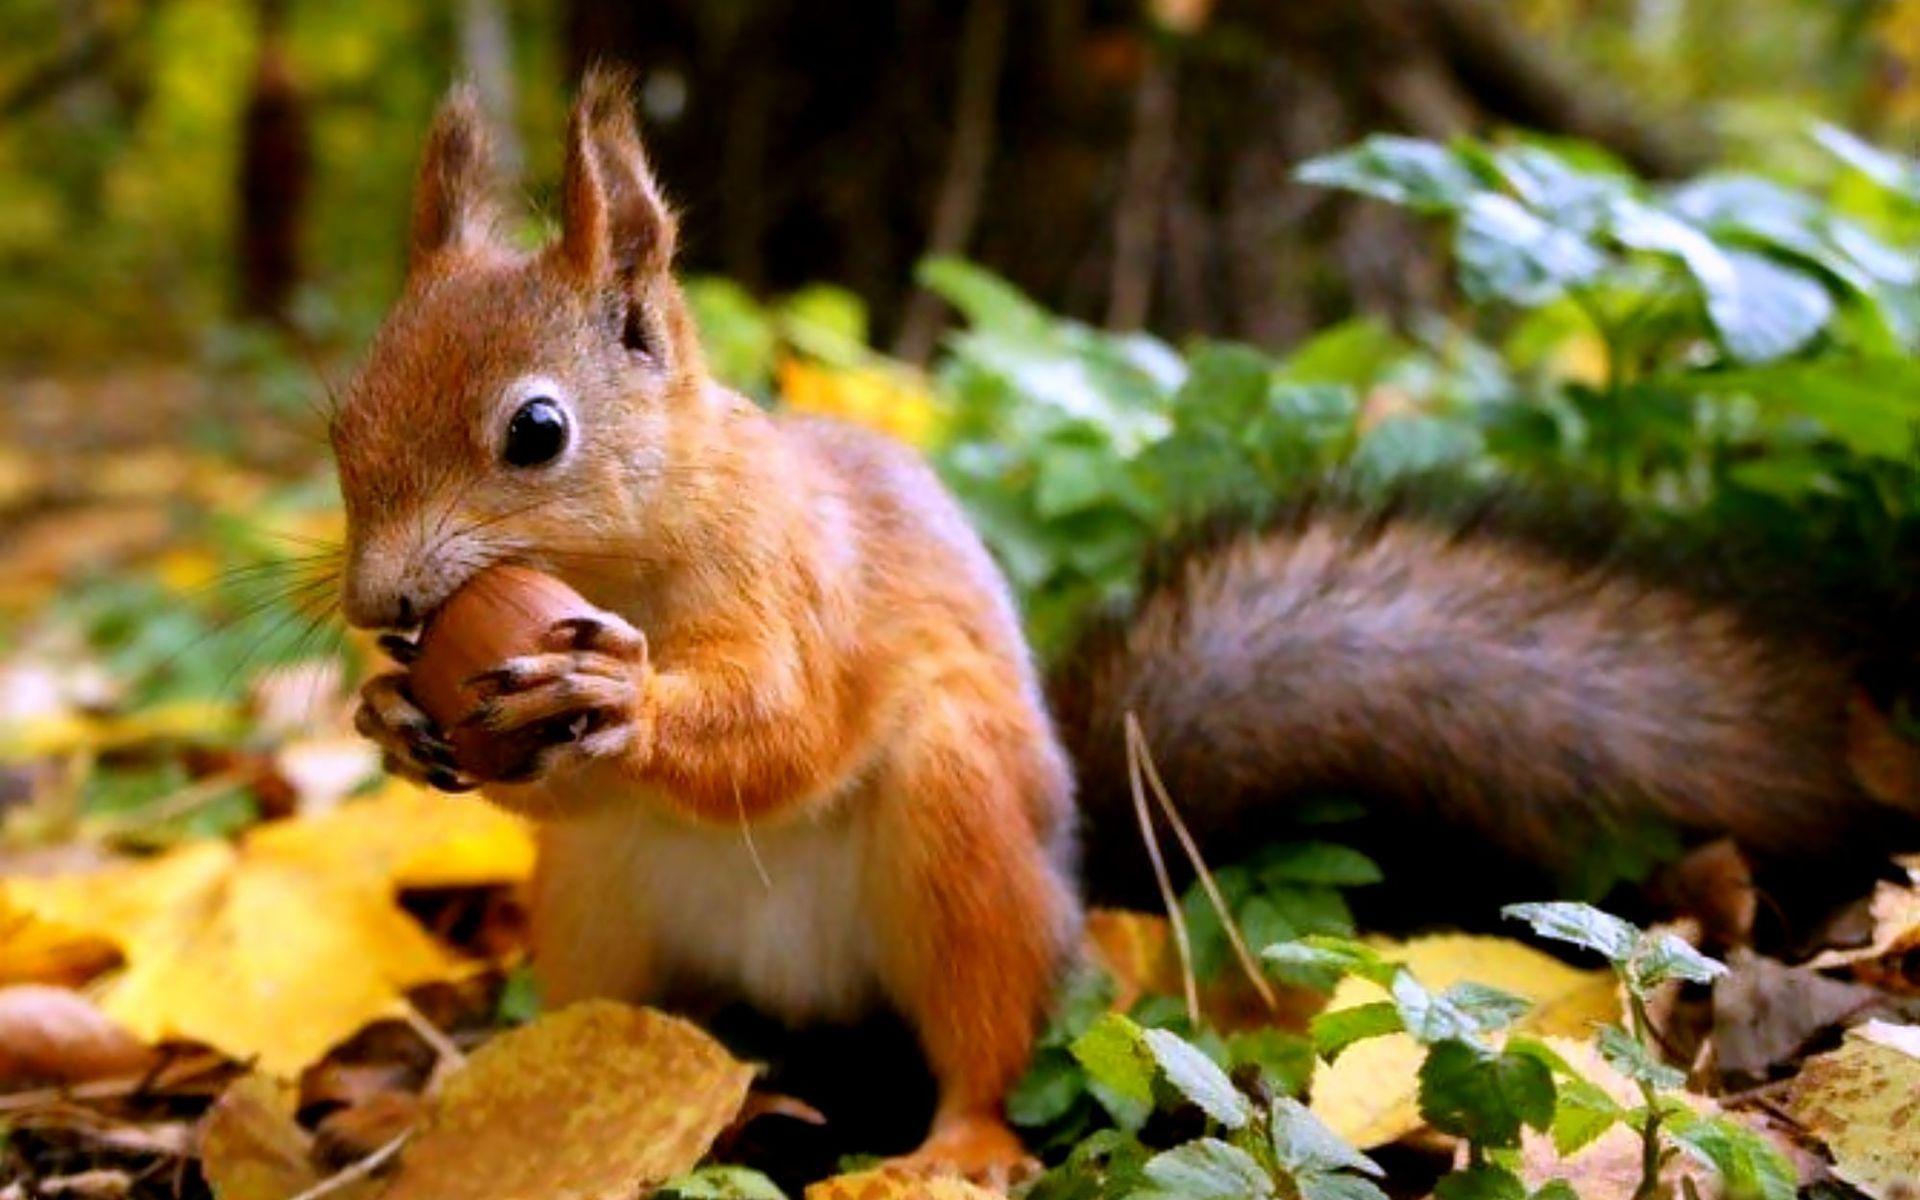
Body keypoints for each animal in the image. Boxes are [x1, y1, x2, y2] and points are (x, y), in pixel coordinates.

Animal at [333, 72, 1920, 1180]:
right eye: (344, 418)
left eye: (537, 432)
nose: (377, 608)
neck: (651, 545)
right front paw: (390, 718)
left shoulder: (806, 585)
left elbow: (787, 729)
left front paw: (630, 701)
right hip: (599, 912)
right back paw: (508, 1097)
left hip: (961, 843)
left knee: (983, 1038)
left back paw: (948, 1152)